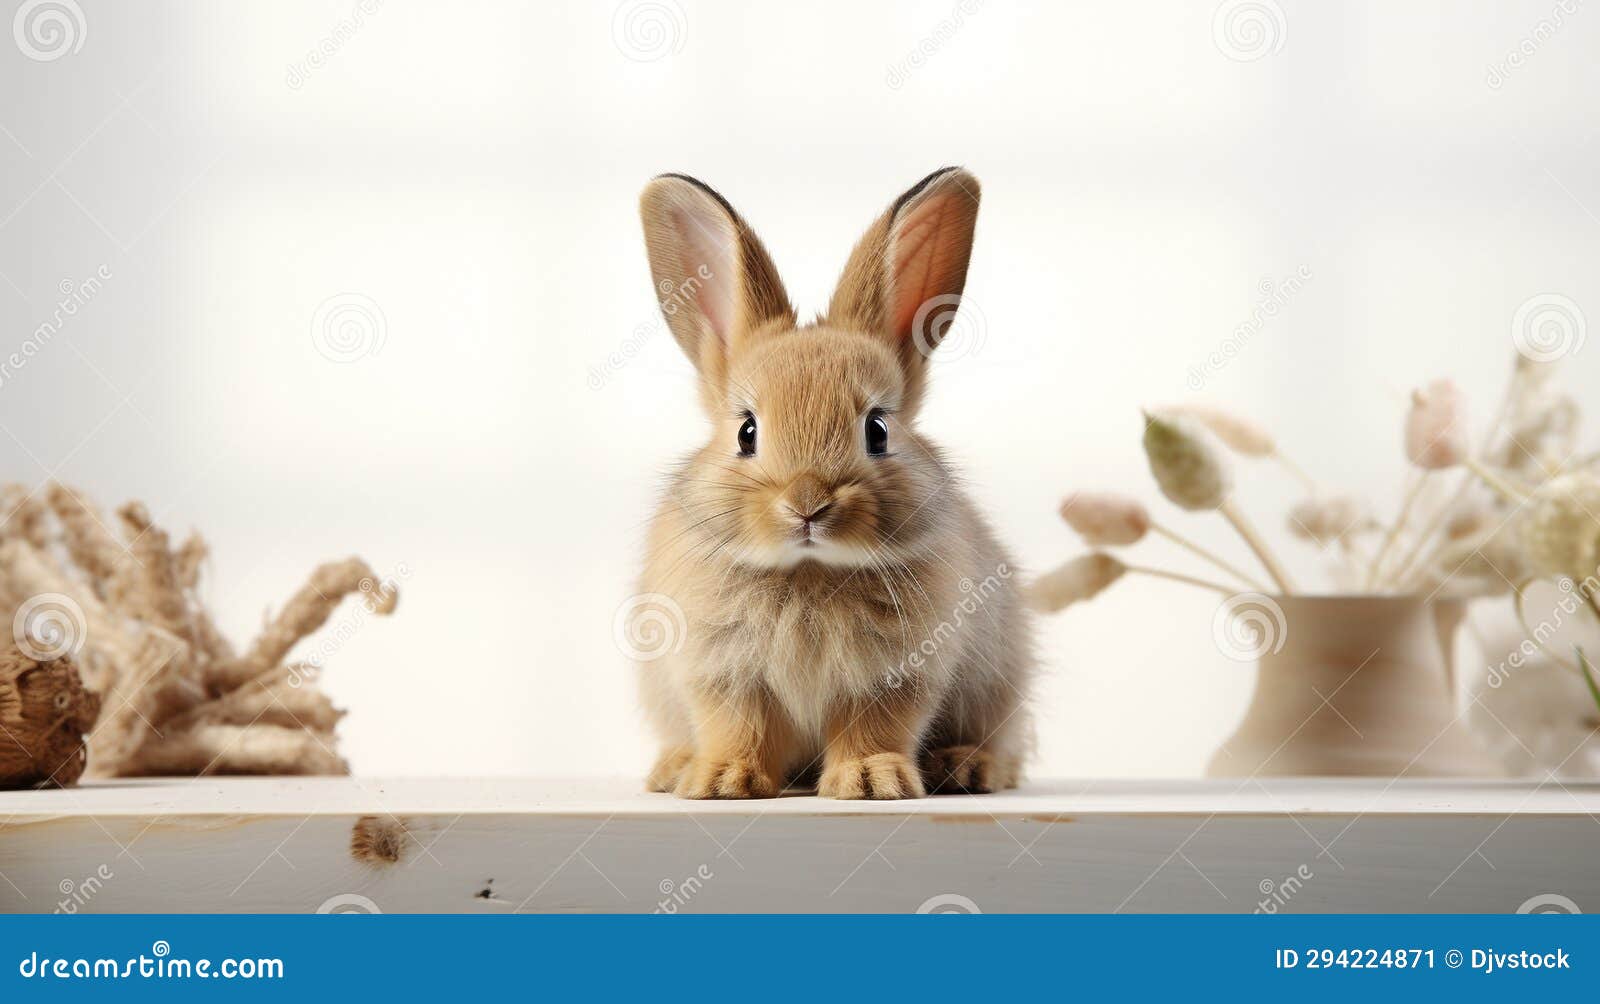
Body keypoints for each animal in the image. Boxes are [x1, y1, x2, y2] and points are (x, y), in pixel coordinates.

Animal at [633, 166, 1034, 799]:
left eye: (877, 429)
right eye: (747, 431)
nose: (807, 503)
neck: (809, 570)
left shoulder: (893, 676)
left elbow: (873, 727)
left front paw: (871, 781)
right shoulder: (722, 672)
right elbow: (736, 725)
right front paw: (723, 780)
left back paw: (966, 767)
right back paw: (675, 767)